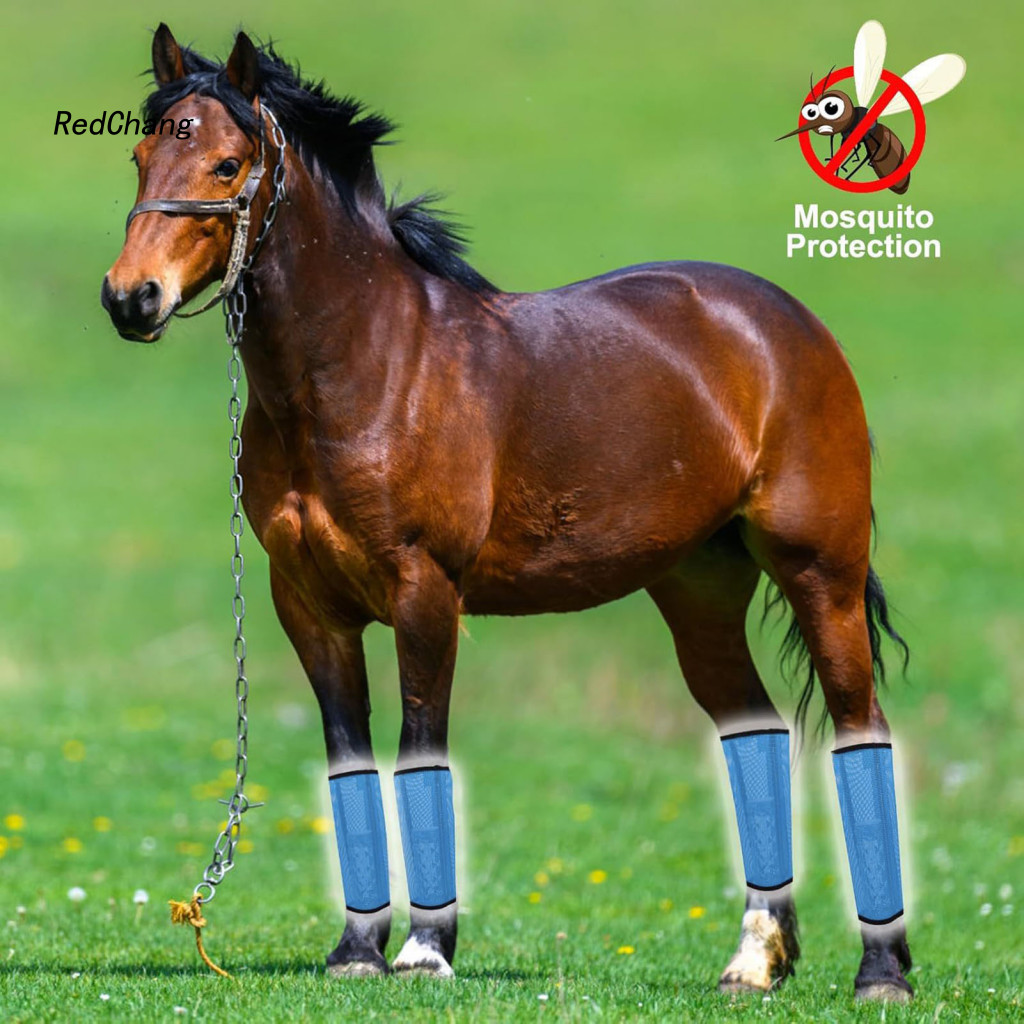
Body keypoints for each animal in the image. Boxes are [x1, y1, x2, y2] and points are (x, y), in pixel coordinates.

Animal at [102, 25, 914, 1002]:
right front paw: (356, 950)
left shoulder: (425, 594)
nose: (130, 297)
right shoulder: (308, 607)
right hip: (698, 589)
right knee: (754, 730)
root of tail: (783, 322)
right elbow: (348, 761)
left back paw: (882, 970)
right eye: (141, 155)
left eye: (227, 164)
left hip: (819, 573)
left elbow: (421, 749)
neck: (368, 366)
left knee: (861, 729)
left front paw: (424, 949)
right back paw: (755, 960)